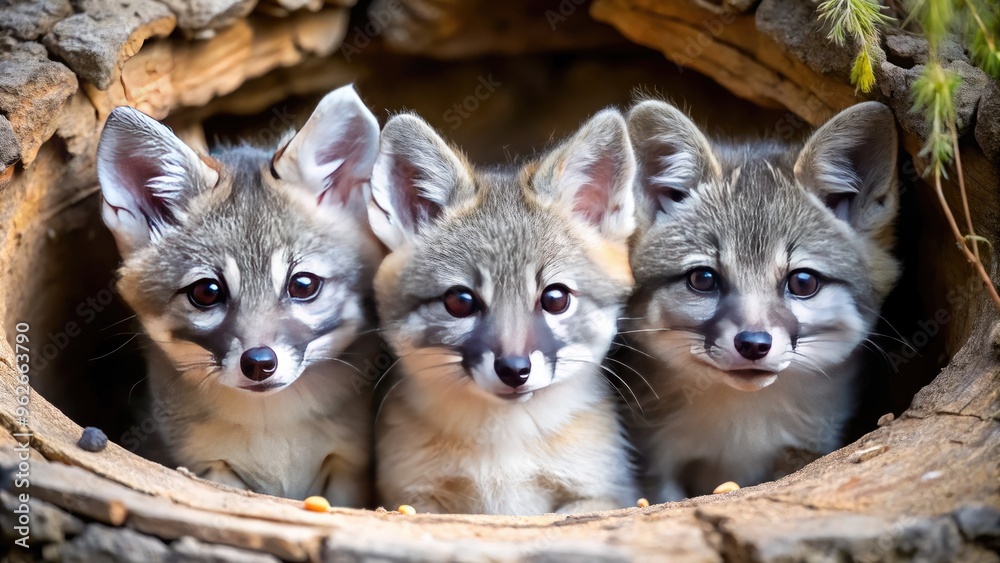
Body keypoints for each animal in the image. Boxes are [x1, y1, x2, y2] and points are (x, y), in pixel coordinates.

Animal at [96, 85, 384, 505]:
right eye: (206, 292)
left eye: (303, 285)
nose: (260, 363)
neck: (273, 437)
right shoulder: (210, 470)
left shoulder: (346, 467)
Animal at [367, 109, 640, 515]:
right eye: (460, 302)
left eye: (555, 298)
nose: (514, 370)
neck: (503, 449)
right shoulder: (414, 498)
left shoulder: (602, 495)